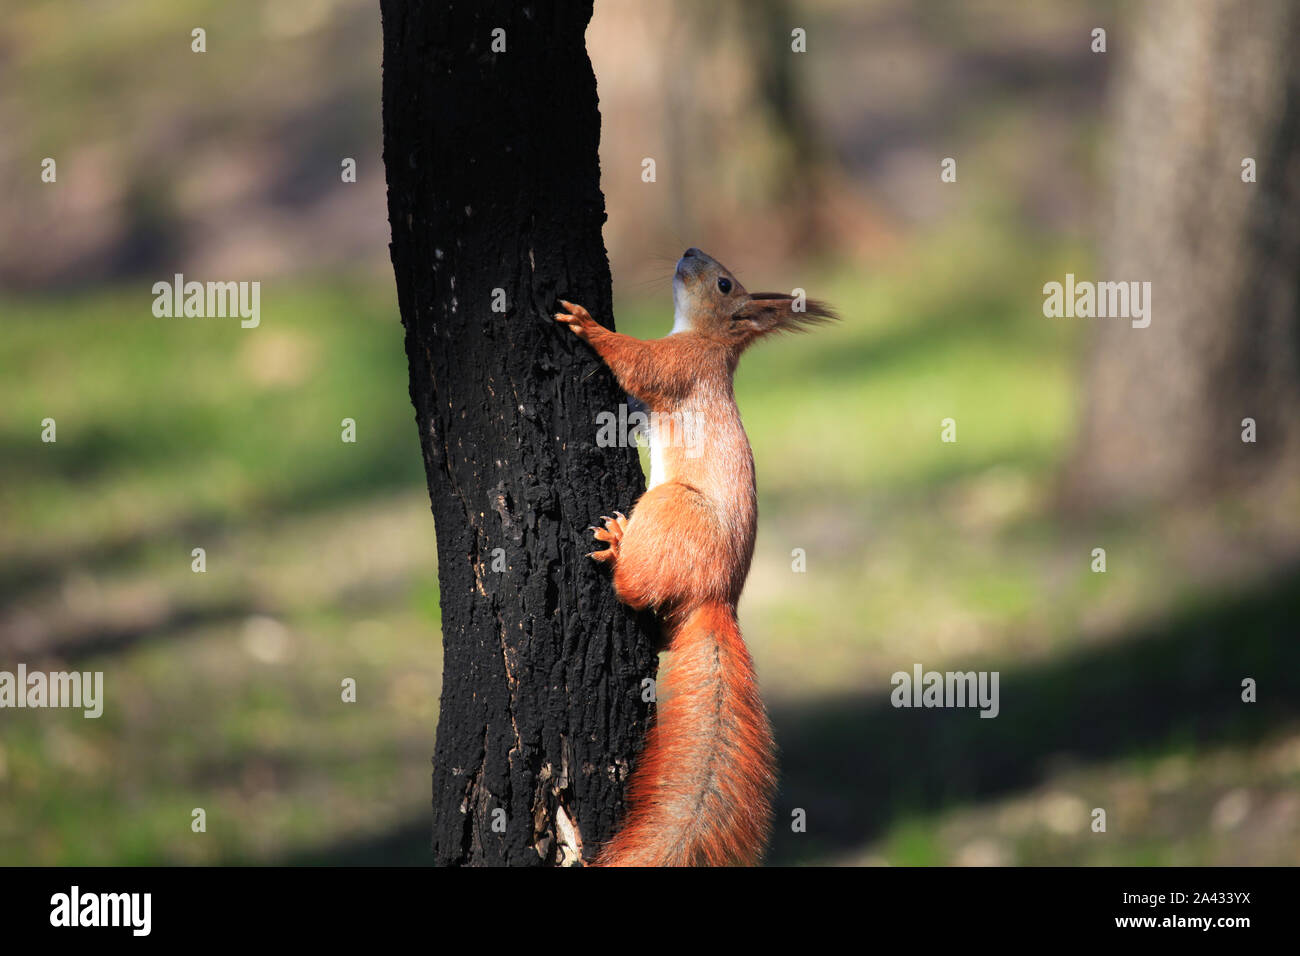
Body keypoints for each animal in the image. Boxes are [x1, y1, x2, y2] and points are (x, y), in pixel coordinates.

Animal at [555, 247, 836, 866]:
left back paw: (618, 547)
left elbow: (635, 363)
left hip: (671, 506)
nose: (688, 252)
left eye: (724, 282)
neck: (708, 340)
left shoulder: (679, 366)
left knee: (633, 589)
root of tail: (717, 596)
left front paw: (587, 324)